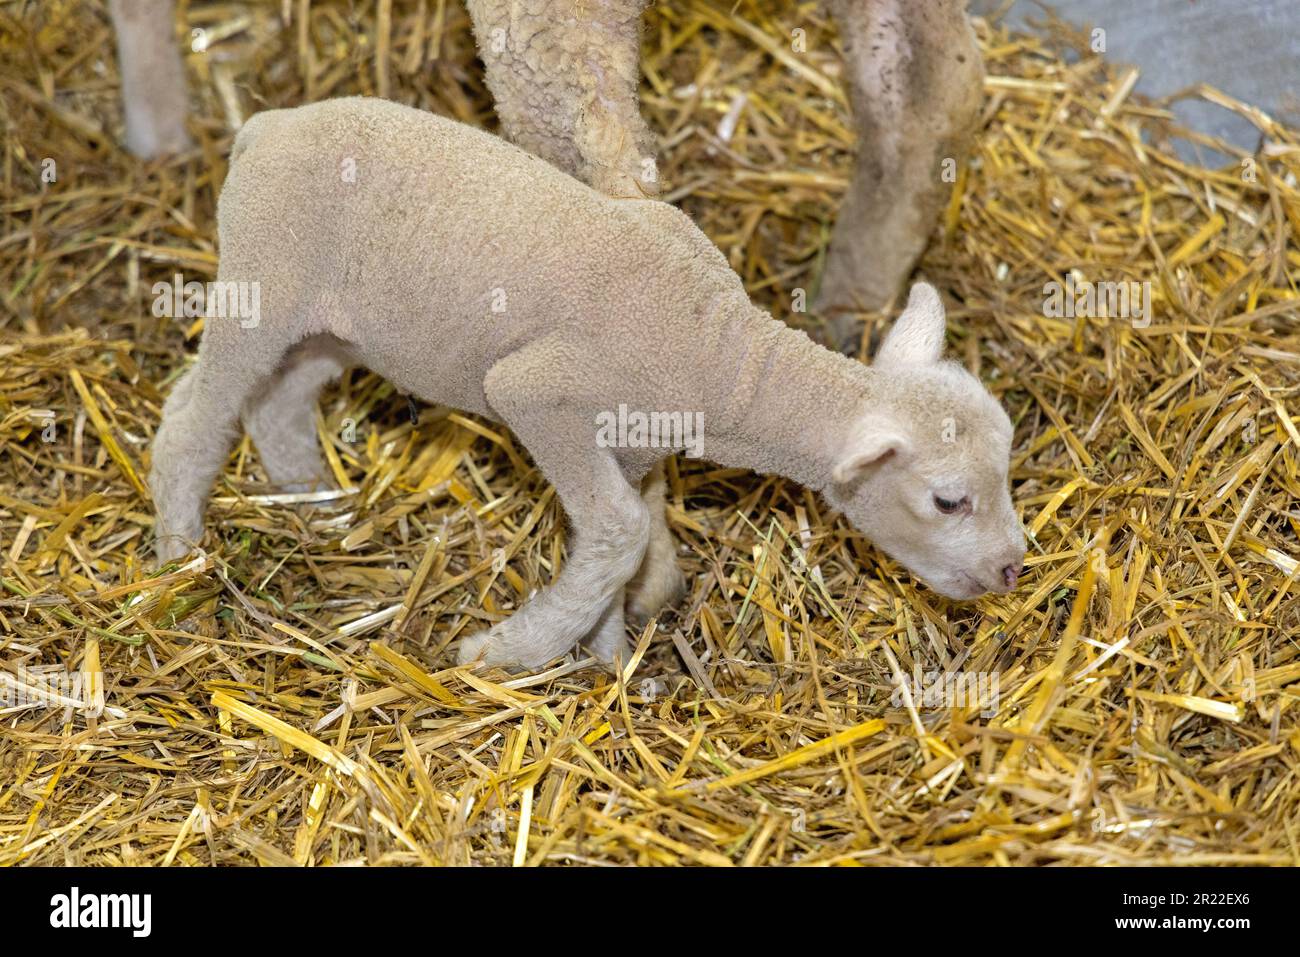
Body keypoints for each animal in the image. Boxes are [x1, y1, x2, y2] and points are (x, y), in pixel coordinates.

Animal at [148, 96, 1025, 671]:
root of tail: (262, 126)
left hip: (337, 322)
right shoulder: (540, 393)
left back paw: (313, 496)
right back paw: (178, 550)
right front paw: (512, 649)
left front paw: (604, 648)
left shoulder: (630, 442)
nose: (1015, 568)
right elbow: (619, 531)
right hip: (263, 281)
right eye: (950, 499)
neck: (723, 359)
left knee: (280, 400)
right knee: (194, 410)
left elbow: (628, 532)